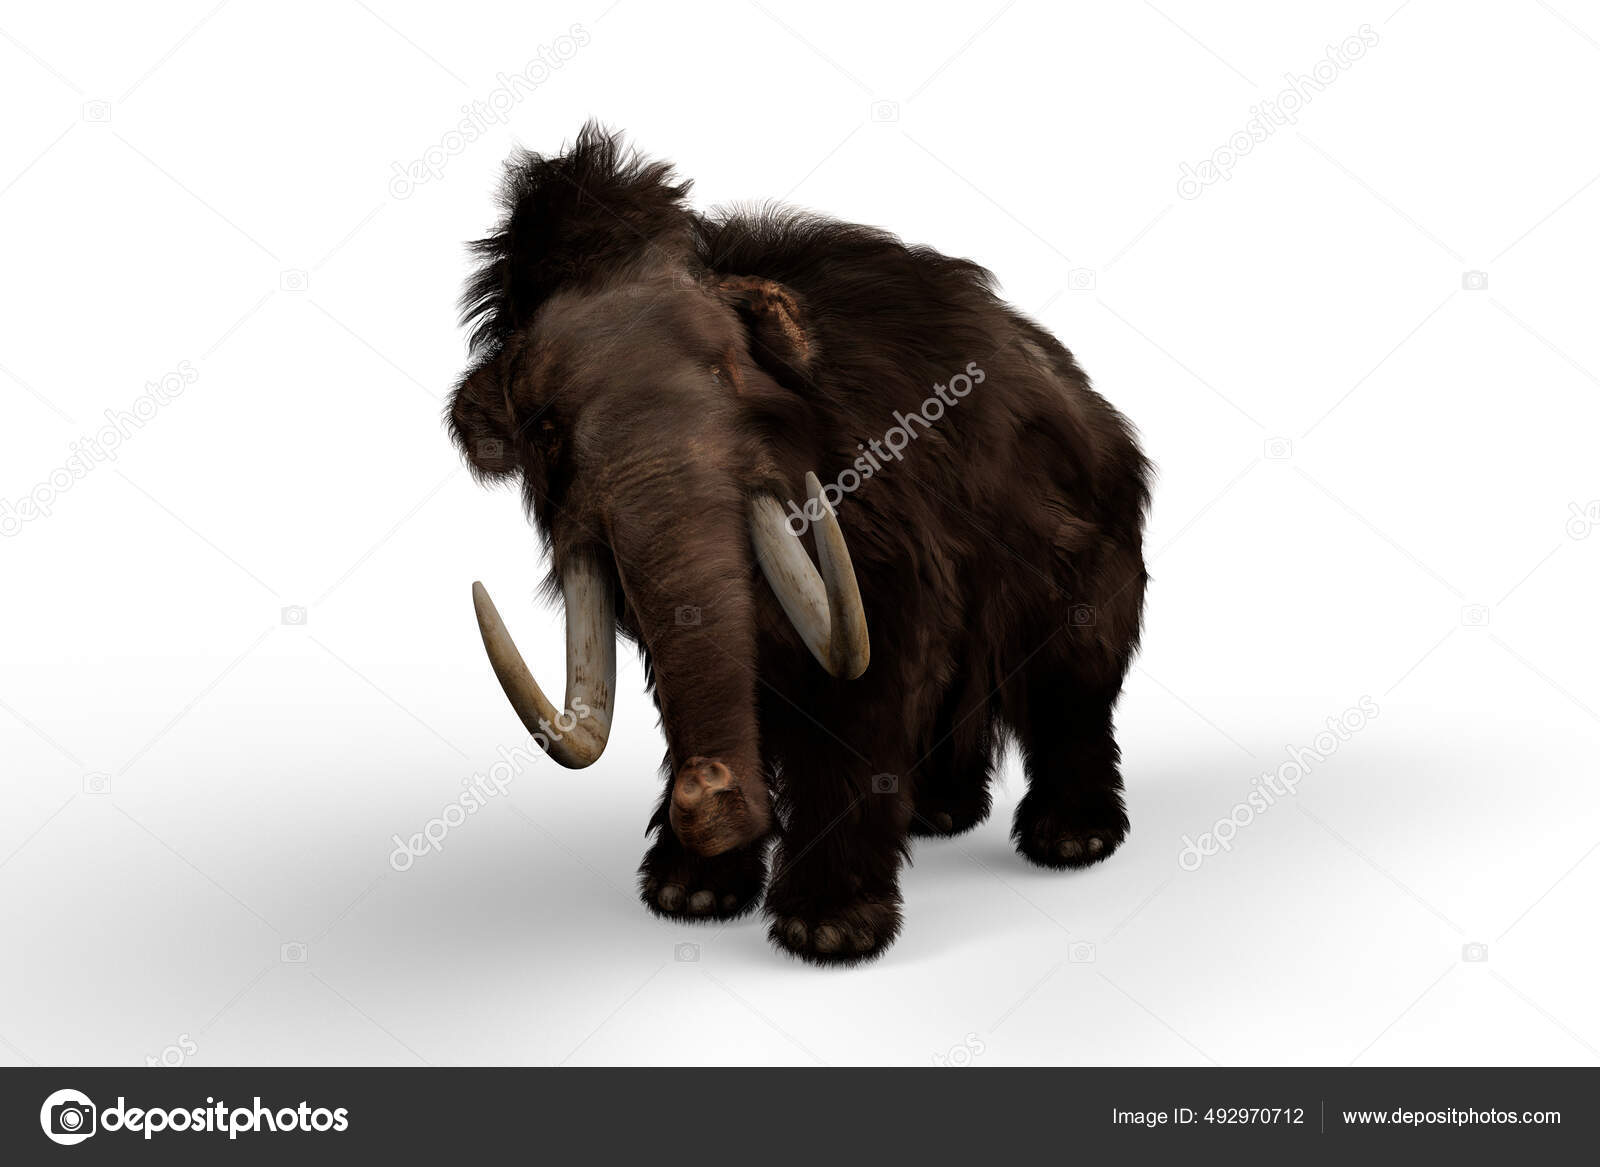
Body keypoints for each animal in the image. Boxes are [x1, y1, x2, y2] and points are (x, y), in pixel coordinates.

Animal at [448, 123, 1150, 965]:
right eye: (548, 426)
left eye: (726, 368)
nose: (707, 791)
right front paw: (691, 893)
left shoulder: (888, 562)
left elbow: (865, 697)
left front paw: (829, 927)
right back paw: (938, 813)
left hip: (1087, 575)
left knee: (1069, 686)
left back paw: (1070, 839)